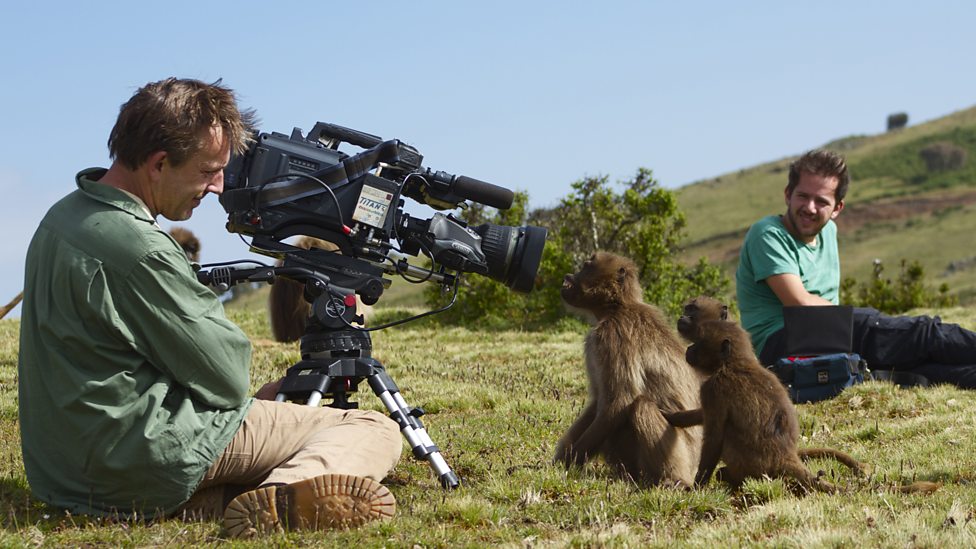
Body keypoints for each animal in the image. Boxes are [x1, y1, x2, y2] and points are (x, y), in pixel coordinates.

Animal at [553, 251, 703, 488]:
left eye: (585, 266)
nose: (568, 276)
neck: (618, 307)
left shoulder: (611, 337)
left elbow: (618, 402)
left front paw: (567, 464)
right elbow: (600, 401)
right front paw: (559, 461)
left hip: (683, 452)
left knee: (640, 406)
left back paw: (673, 481)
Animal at [664, 319, 862, 494]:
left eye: (698, 342)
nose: (688, 349)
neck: (733, 362)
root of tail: (785, 456)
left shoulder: (713, 389)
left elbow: (713, 438)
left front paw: (696, 488)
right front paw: (673, 417)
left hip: (750, 465)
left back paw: (730, 478)